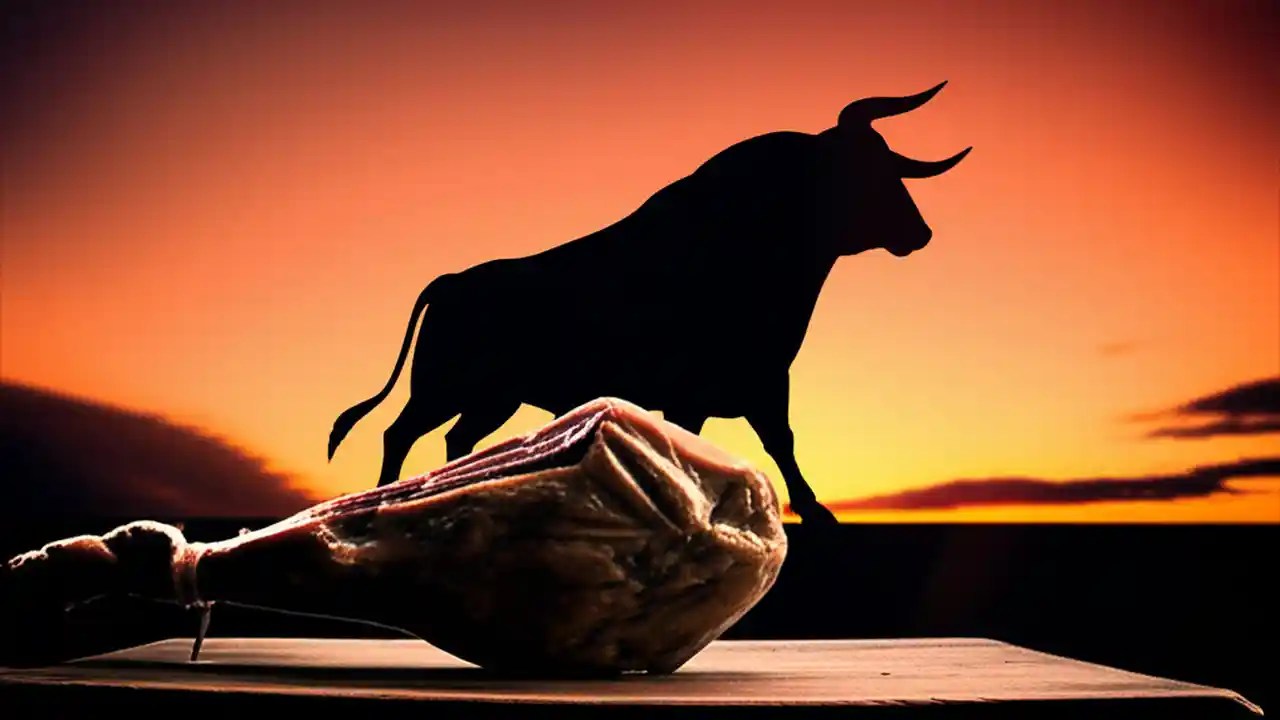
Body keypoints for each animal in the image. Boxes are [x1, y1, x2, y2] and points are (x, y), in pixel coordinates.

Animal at [328, 81, 970, 525]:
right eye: (859, 171)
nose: (919, 233)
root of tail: (452, 281)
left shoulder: (764, 380)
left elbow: (781, 440)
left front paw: (814, 510)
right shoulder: (701, 392)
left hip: (491, 398)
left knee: (456, 440)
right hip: (445, 387)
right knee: (398, 433)